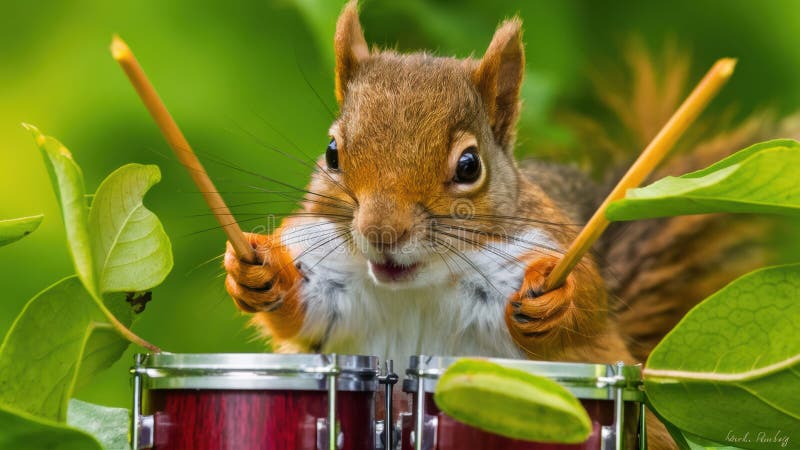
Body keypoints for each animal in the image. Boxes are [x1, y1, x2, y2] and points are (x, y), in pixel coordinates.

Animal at [224, 1, 782, 448]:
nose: (382, 233)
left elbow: (586, 311)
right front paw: (259, 271)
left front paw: (554, 301)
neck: (417, 286)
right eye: (333, 152)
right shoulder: (332, 282)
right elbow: (303, 313)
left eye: (469, 166)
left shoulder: (542, 249)